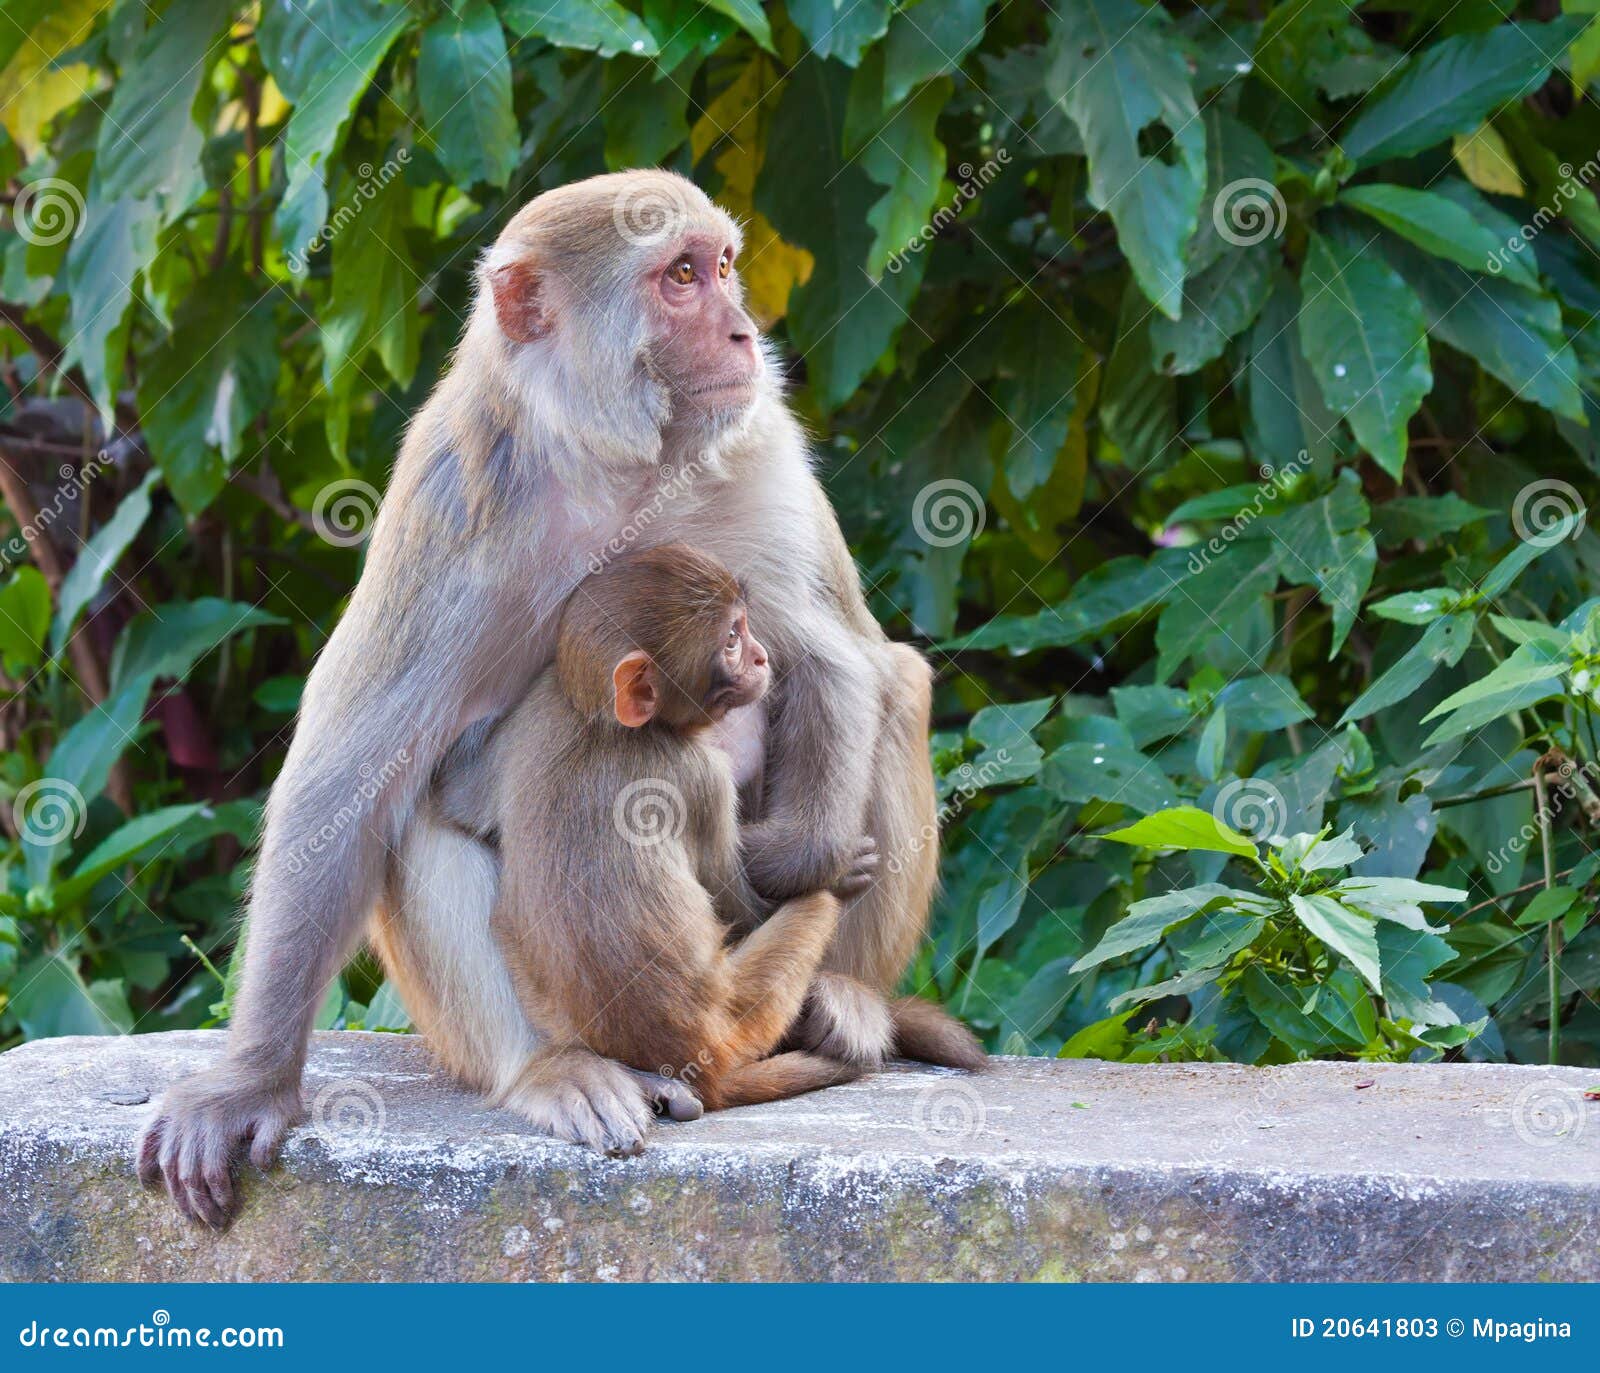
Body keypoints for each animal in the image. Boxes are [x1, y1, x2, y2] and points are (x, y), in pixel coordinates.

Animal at [489, 543, 873, 1114]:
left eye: (744, 629)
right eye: (732, 639)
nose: (762, 657)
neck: (608, 726)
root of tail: (699, 1062)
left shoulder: (540, 707)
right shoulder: (703, 776)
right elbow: (739, 907)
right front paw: (840, 869)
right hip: (740, 1015)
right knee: (813, 907)